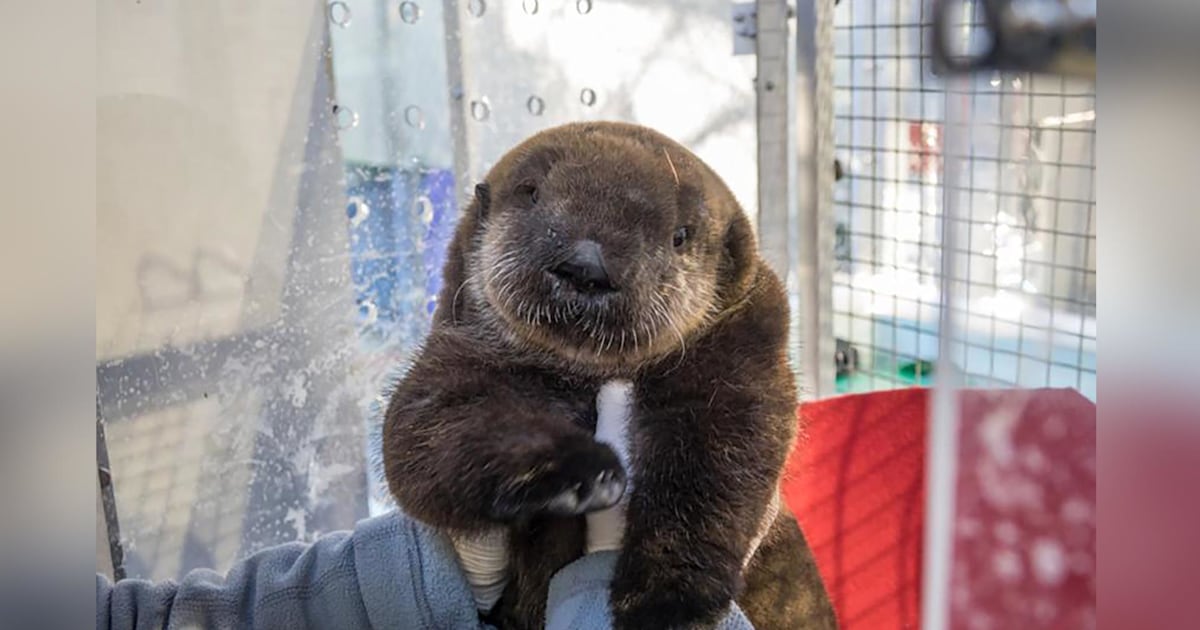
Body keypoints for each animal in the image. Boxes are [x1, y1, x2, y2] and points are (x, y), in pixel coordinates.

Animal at [383, 122, 836, 630]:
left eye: (680, 236)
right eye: (532, 194)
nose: (586, 265)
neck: (588, 374)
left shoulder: (741, 360)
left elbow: (712, 469)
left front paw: (665, 603)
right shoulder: (455, 357)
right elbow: (434, 433)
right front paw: (573, 472)